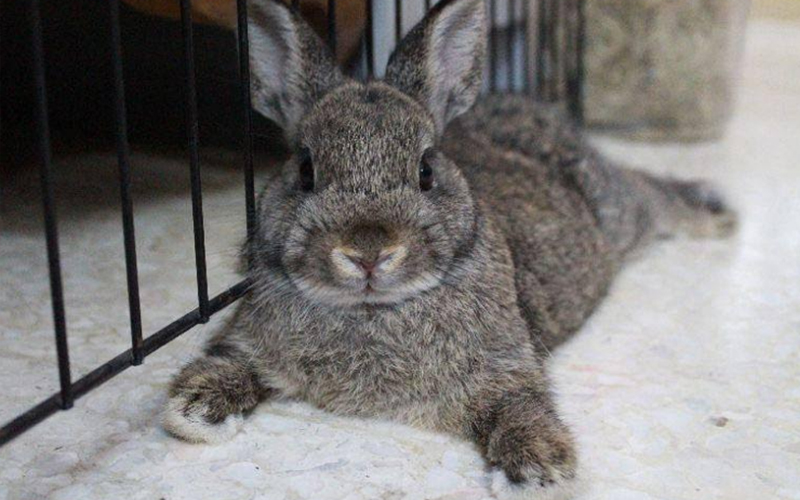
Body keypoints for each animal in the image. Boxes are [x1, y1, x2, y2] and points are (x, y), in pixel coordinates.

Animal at [162, 0, 737, 498]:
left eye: (425, 170)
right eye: (305, 169)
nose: (368, 252)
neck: (372, 310)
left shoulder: (508, 367)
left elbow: (521, 408)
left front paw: (537, 471)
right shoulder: (246, 338)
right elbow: (229, 362)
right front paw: (194, 407)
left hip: (618, 213)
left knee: (650, 194)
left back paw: (715, 211)